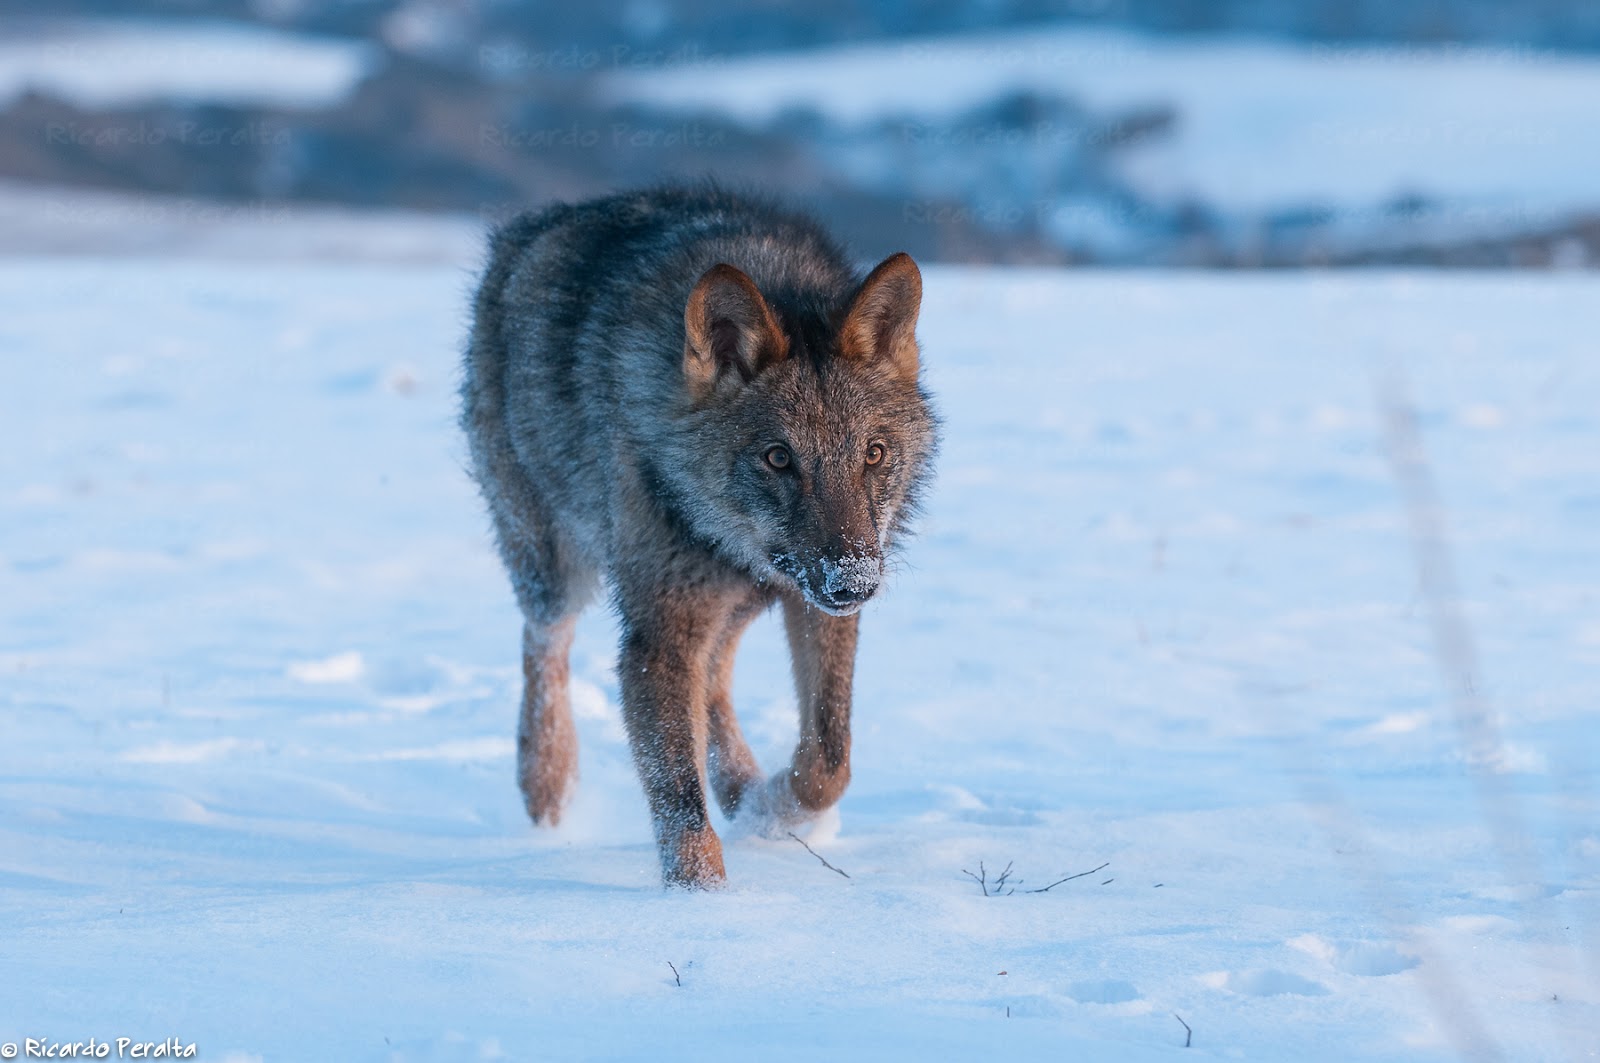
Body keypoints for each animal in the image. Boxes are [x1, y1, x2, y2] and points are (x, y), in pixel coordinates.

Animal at [460, 185, 938, 888]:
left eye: (873, 455)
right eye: (777, 458)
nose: (854, 581)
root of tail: (523, 230)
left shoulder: (814, 607)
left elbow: (828, 761)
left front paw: (769, 813)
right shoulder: (659, 634)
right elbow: (678, 800)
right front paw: (702, 902)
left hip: (730, 603)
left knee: (714, 679)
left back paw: (743, 792)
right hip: (556, 570)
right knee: (545, 643)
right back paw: (548, 785)